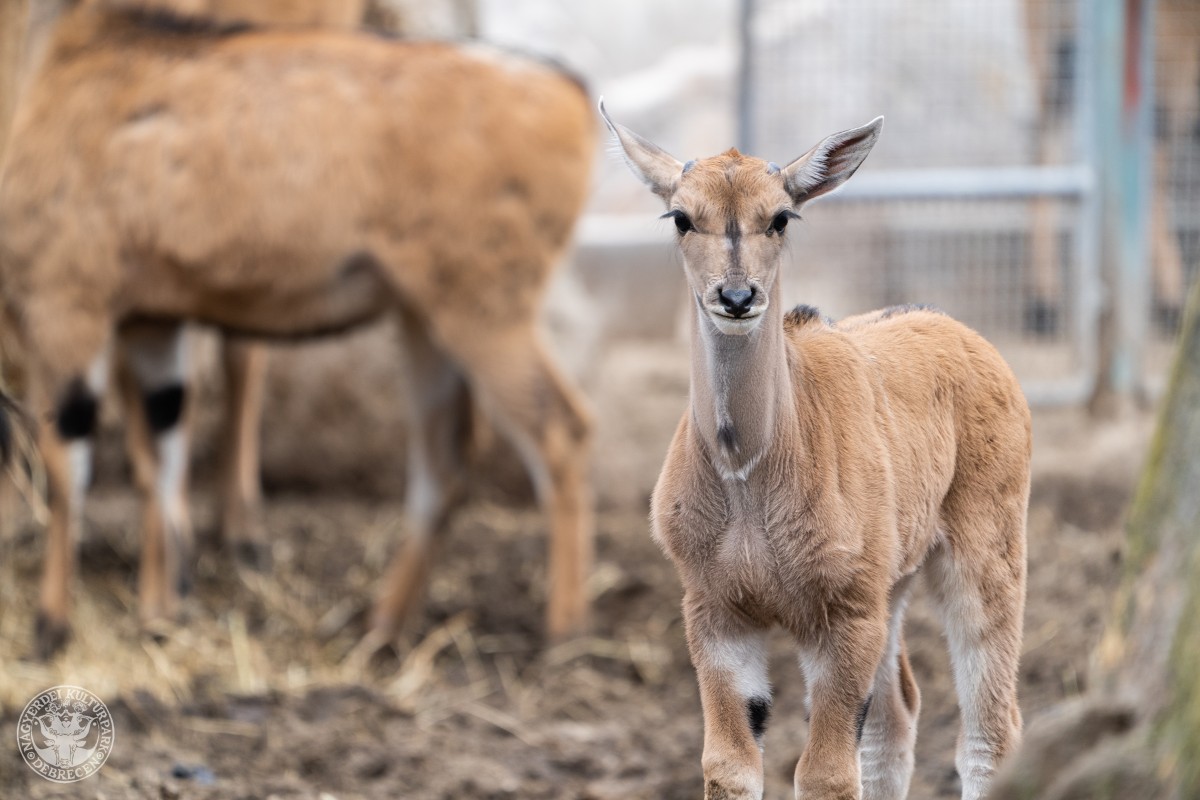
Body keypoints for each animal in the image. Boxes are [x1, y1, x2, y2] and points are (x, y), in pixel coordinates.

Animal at [0, 2, 596, 660]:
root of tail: (568, 91)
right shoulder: (152, 324)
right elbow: (163, 454)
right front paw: (163, 611)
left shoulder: (66, 304)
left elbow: (68, 464)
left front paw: (51, 627)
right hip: (427, 320)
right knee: (446, 463)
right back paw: (383, 626)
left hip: (484, 313)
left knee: (561, 432)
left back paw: (564, 633)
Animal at [601, 102, 1030, 800]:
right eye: (681, 217)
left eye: (780, 216)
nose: (737, 297)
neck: (747, 472)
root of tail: (961, 331)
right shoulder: (716, 613)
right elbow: (730, 765)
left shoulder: (842, 614)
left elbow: (825, 772)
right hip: (894, 586)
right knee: (897, 716)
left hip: (985, 555)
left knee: (989, 730)